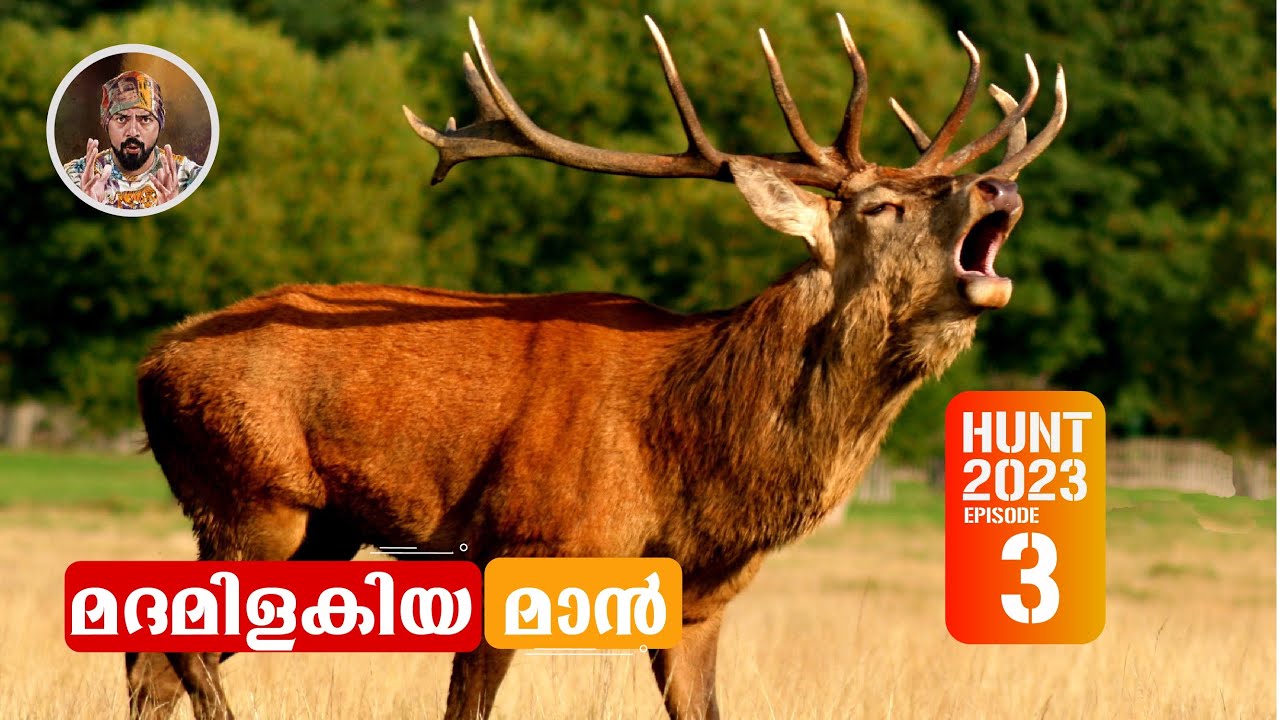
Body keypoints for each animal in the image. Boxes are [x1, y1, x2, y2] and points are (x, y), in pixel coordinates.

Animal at [127, 14, 1065, 720]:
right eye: (878, 205)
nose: (999, 188)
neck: (688, 455)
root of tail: (150, 362)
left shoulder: (701, 598)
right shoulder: (516, 543)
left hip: (319, 529)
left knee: (153, 661)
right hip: (252, 498)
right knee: (172, 642)